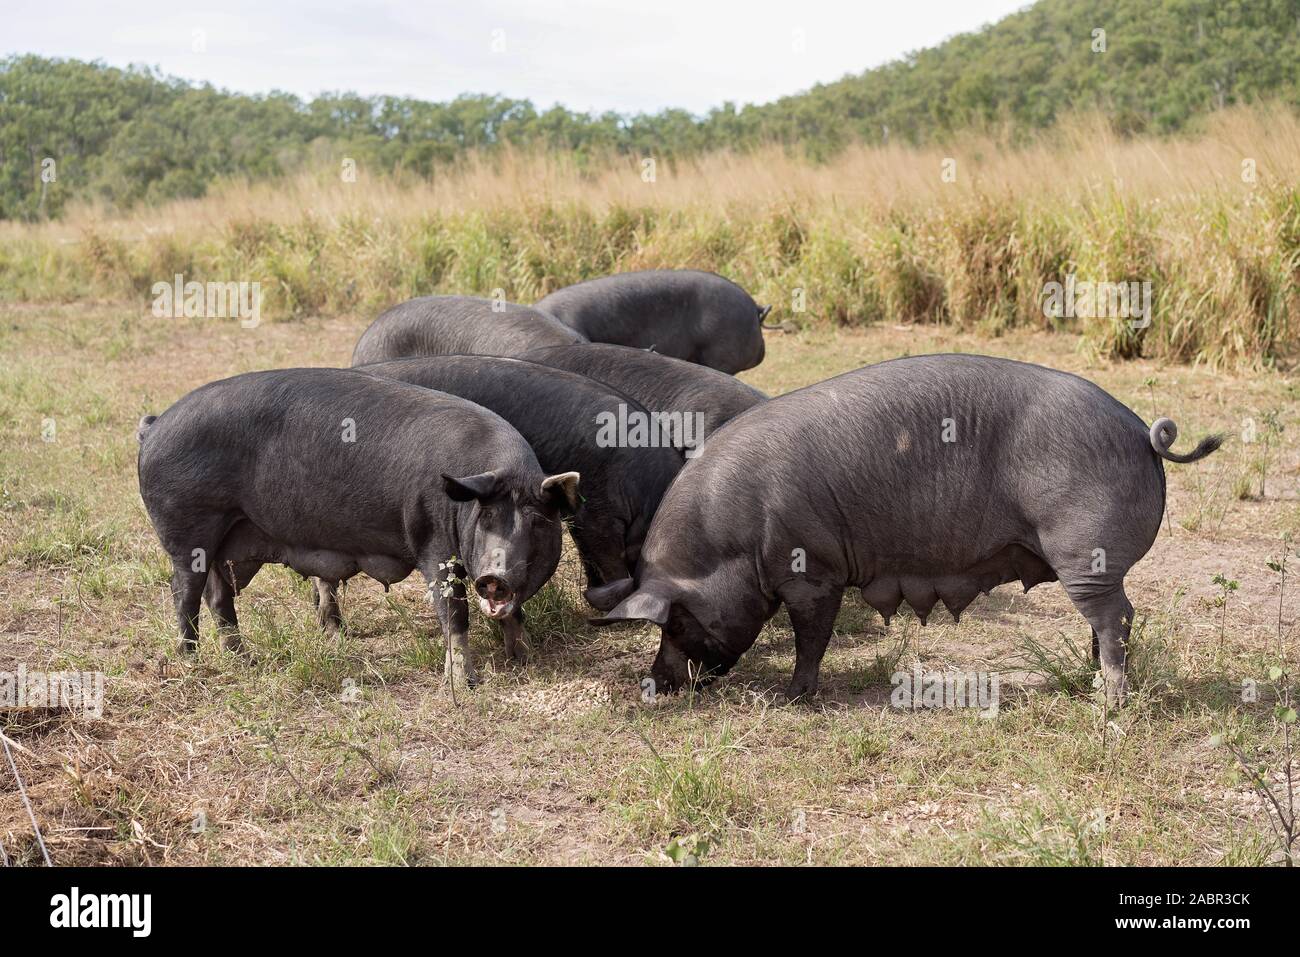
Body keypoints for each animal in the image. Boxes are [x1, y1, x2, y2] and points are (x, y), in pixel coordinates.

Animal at [137, 367, 579, 685]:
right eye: (486, 517)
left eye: (537, 522)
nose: (493, 576)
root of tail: (154, 426)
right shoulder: (432, 544)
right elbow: (454, 614)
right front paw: (466, 684)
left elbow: (514, 614)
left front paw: (524, 659)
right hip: (186, 529)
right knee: (184, 594)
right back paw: (190, 661)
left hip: (235, 542)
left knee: (219, 596)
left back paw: (244, 659)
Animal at [588, 354, 1224, 707]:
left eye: (676, 621)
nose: (657, 682)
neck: (730, 542)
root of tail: (1142, 430)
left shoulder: (811, 570)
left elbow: (811, 636)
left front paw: (793, 697)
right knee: (1115, 616)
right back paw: (1094, 684)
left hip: (1085, 549)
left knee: (1115, 616)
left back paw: (1110, 704)